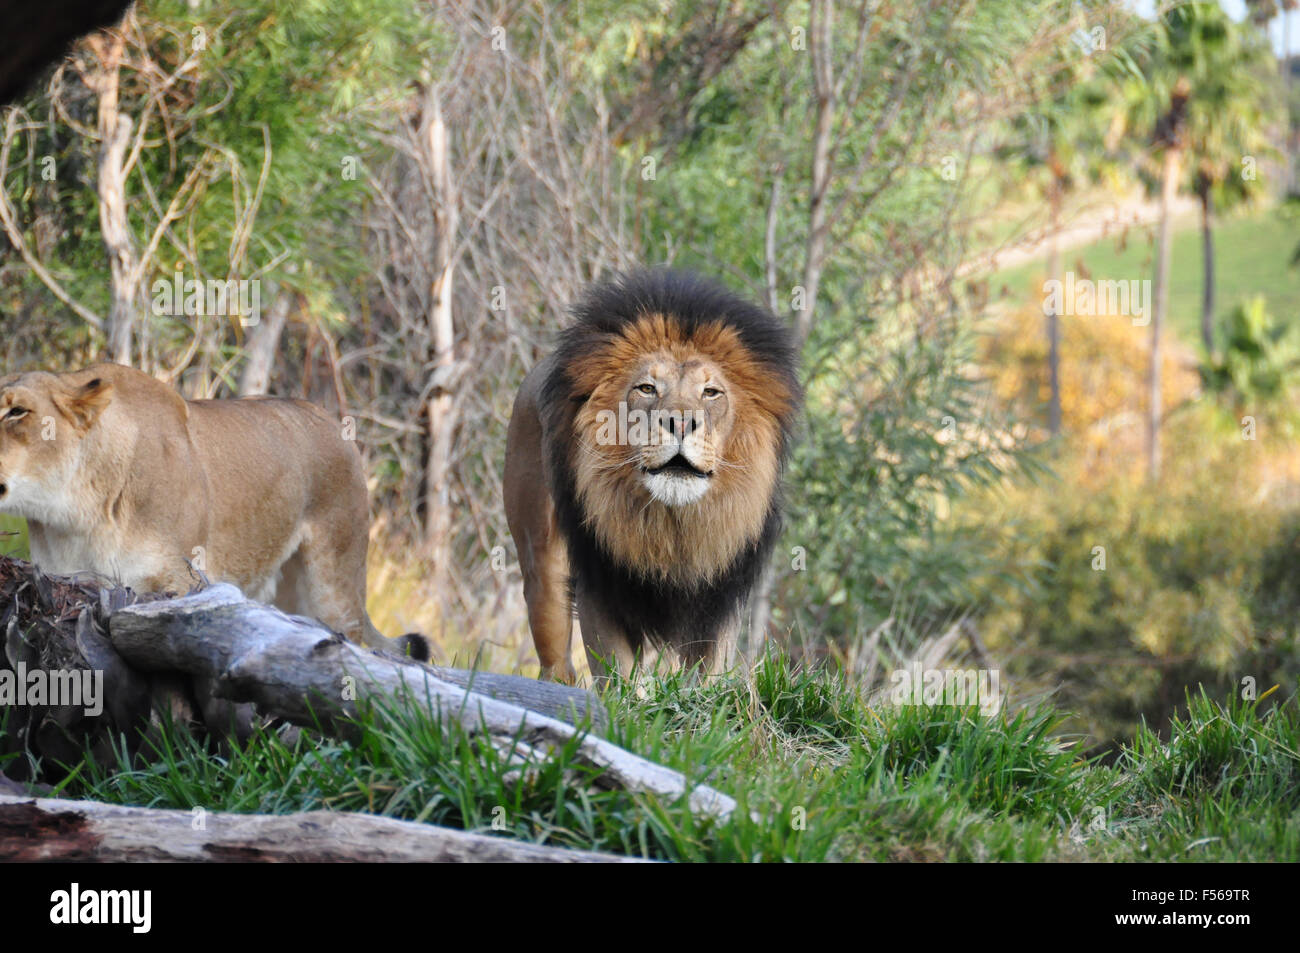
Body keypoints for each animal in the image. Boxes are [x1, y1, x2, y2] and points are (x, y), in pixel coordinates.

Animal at [0, 363, 428, 660]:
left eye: (16, 411)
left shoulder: (182, 582)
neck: (73, 517)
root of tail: (331, 419)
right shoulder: (62, 581)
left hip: (333, 590)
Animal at [504, 268, 801, 683]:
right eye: (647, 388)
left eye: (711, 393)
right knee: (555, 658)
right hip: (541, 558)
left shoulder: (719, 596)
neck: (672, 524)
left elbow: (709, 676)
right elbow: (618, 674)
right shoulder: (600, 582)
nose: (681, 422)